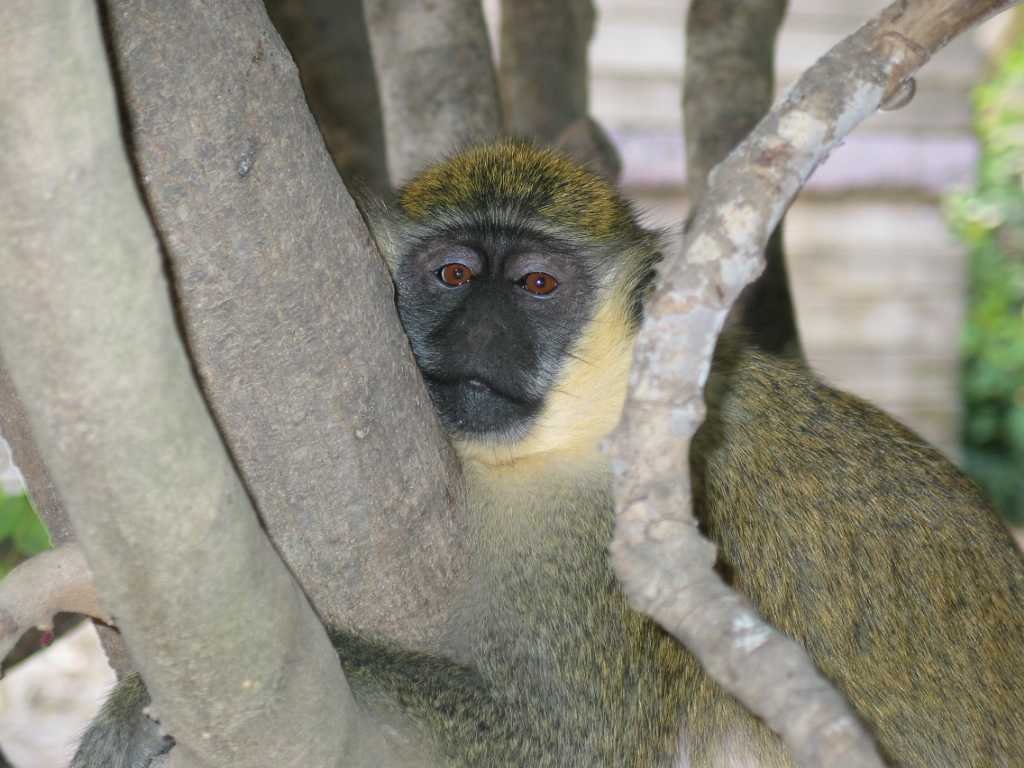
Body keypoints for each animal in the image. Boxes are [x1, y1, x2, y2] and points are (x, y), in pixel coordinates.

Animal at [72, 140, 1024, 767]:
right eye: (453, 275)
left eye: (536, 285)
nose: (478, 334)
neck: (603, 422)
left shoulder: (621, 542)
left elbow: (567, 744)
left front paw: (135, 703)